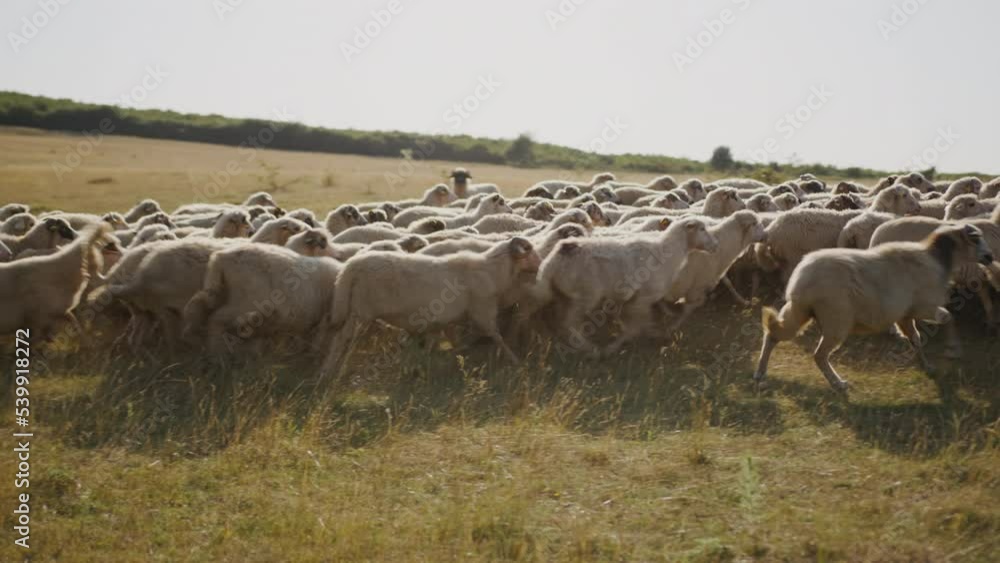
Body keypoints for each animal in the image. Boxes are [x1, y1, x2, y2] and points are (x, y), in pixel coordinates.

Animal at [182, 242, 342, 355]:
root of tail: (221, 258)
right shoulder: (322, 321)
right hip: (245, 301)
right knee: (215, 319)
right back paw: (218, 355)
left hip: (220, 292)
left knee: (202, 308)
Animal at [319, 237, 542, 374]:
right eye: (529, 252)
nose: (541, 265)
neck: (493, 271)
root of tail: (351, 267)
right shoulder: (482, 311)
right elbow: (497, 336)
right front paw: (516, 361)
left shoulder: (445, 320)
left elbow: (448, 340)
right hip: (361, 313)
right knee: (341, 339)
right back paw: (329, 371)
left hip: (359, 313)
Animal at [531, 217, 718, 355]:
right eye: (702, 229)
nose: (715, 246)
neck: (667, 254)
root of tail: (557, 256)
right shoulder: (641, 300)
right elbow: (633, 329)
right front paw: (611, 348)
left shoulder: (629, 302)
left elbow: (635, 326)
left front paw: (657, 334)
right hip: (586, 294)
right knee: (569, 323)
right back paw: (590, 349)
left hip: (564, 295)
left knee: (560, 321)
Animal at [754, 224, 994, 393]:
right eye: (975, 238)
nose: (990, 257)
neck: (939, 260)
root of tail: (801, 275)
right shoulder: (923, 306)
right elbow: (948, 318)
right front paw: (953, 349)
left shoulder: (905, 314)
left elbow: (915, 339)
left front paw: (926, 365)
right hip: (836, 319)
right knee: (819, 355)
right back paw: (838, 384)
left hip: (799, 310)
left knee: (773, 333)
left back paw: (760, 372)